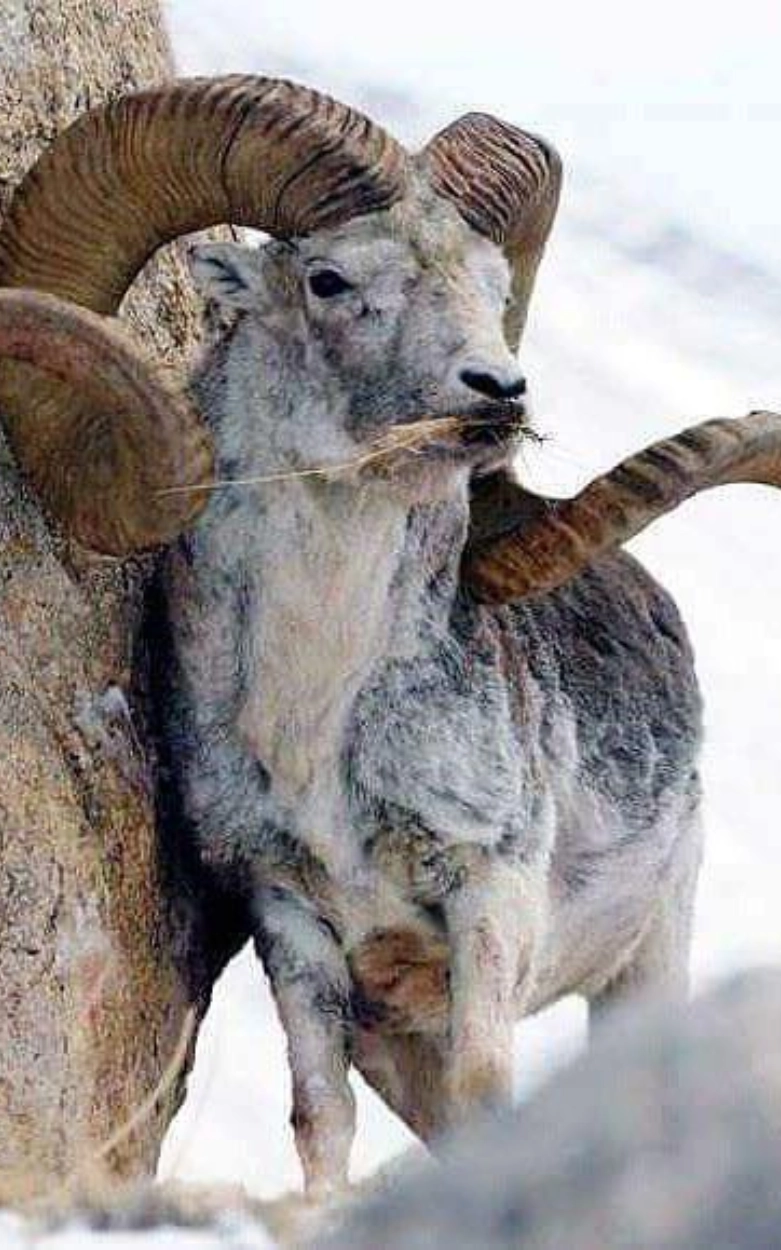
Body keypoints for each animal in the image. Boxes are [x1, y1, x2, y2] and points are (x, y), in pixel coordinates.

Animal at [0, 75, 779, 1198]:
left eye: (490, 287)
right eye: (329, 279)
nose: (500, 394)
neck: (314, 725)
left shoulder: (487, 893)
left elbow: (487, 1089)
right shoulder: (292, 918)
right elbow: (318, 1117)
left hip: (646, 957)